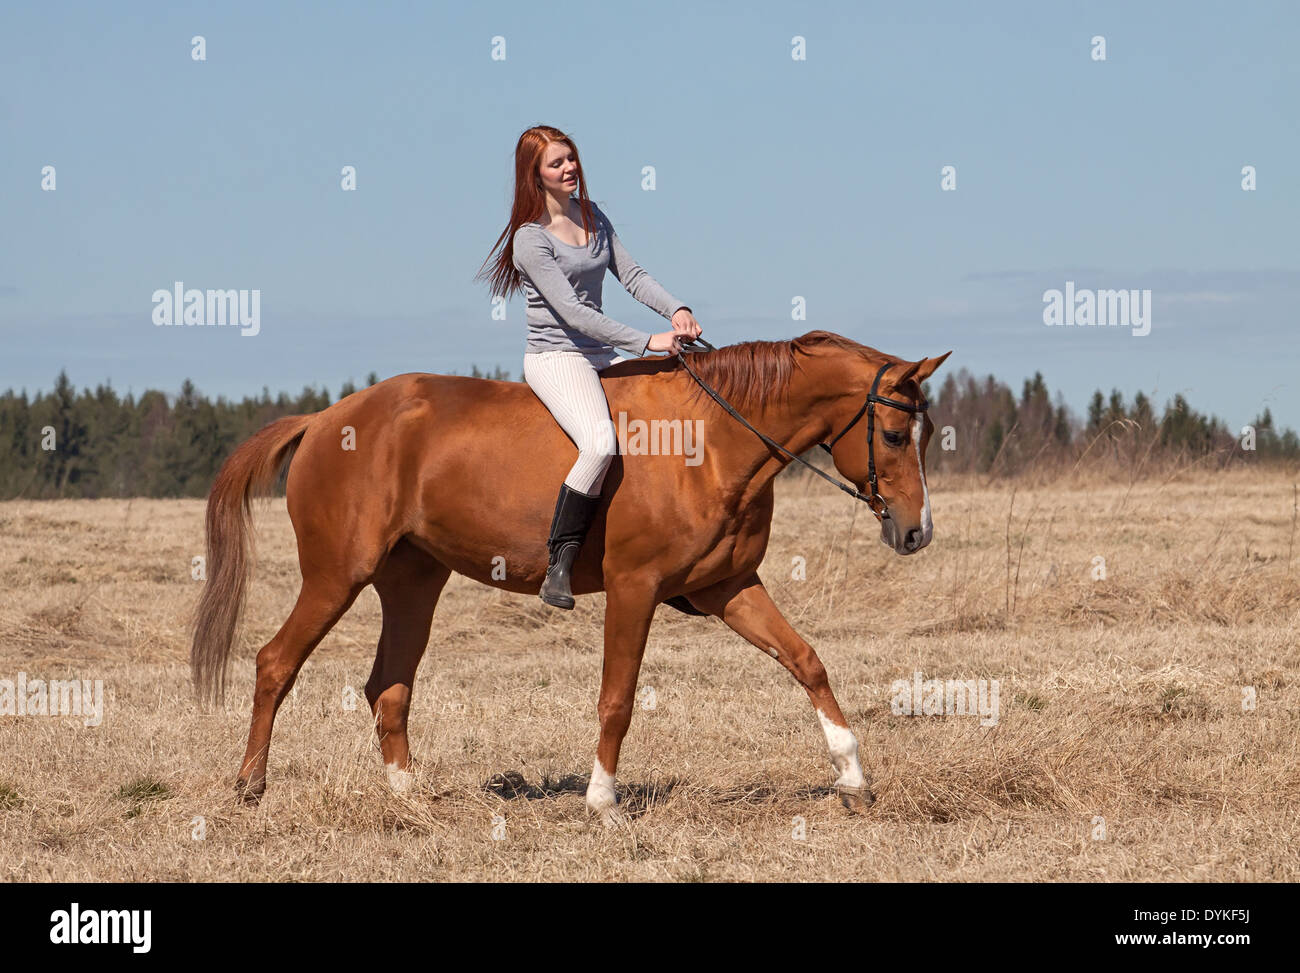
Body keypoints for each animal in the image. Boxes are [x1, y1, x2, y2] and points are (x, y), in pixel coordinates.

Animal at [190, 330, 950, 824]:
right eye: (891, 435)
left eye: (923, 432)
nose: (916, 533)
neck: (711, 440)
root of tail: (325, 419)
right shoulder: (635, 589)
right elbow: (618, 698)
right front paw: (603, 801)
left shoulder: (728, 588)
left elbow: (807, 661)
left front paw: (853, 777)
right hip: (335, 576)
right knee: (275, 661)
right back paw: (250, 788)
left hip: (414, 583)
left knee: (388, 687)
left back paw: (410, 799)